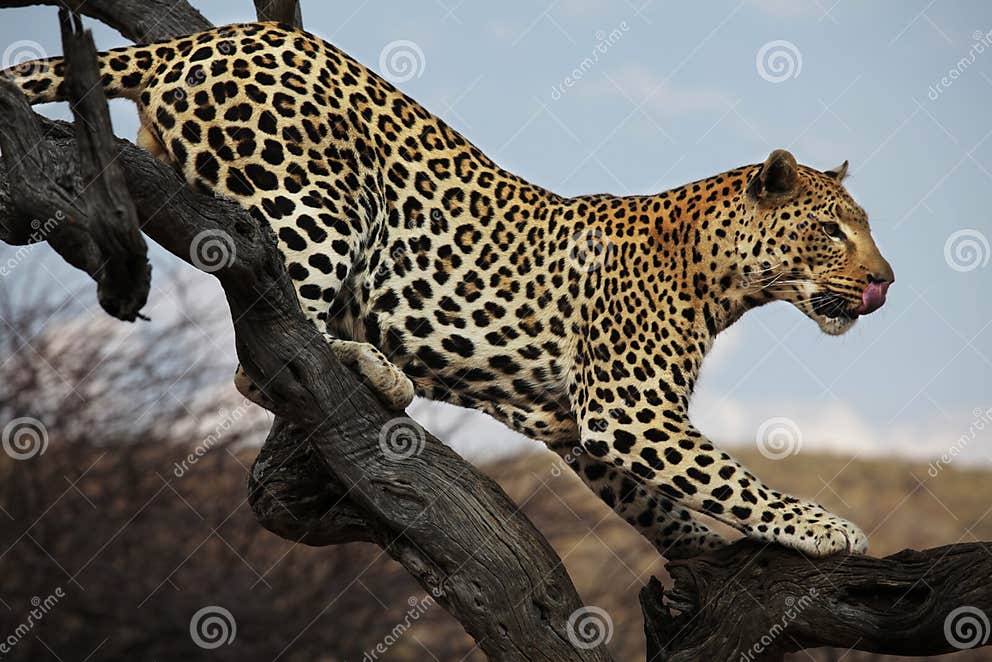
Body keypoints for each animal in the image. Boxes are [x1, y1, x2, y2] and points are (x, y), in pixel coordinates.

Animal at [3, 21, 895, 560]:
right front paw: (824, 528)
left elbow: (668, 505)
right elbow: (730, 477)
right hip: (316, 201)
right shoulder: (629, 410)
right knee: (264, 351)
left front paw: (706, 553)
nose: (886, 283)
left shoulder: (579, 426)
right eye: (833, 231)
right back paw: (376, 369)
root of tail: (212, 36)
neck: (722, 278)